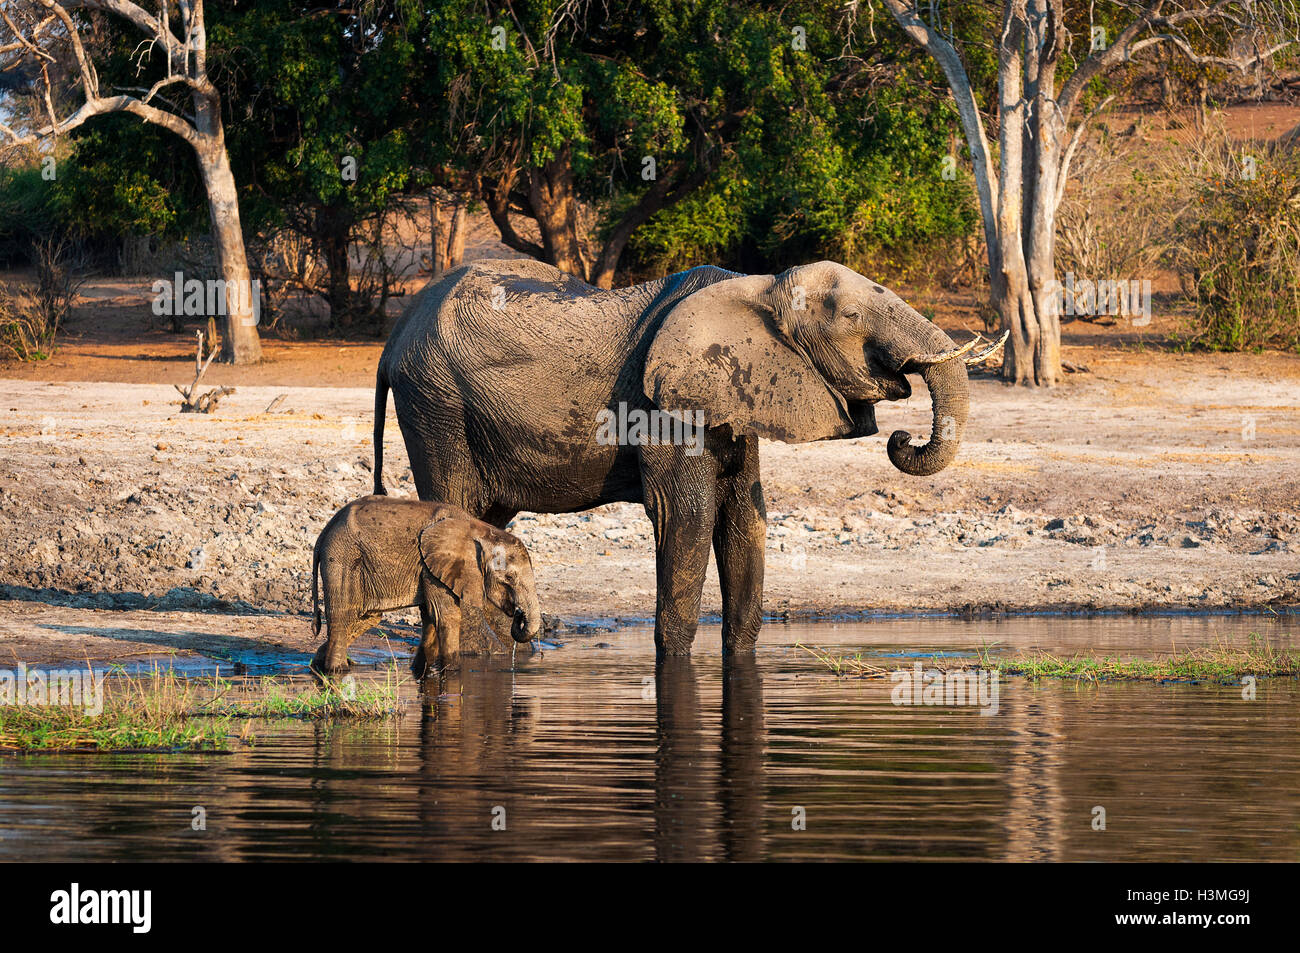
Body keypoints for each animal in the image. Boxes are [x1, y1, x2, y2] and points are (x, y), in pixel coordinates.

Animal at [310, 495, 542, 676]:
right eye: (509, 578)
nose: (518, 614)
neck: (479, 530)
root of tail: (323, 533)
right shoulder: (433, 566)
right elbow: (446, 615)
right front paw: (452, 673)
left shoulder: (431, 568)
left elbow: (431, 616)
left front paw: (421, 672)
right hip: (342, 557)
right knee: (344, 614)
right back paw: (335, 670)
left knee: (368, 617)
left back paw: (317, 666)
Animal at [371, 258, 1003, 658]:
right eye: (850, 319)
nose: (901, 439)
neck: (759, 285)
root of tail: (394, 338)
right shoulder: (665, 404)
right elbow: (690, 517)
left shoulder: (735, 395)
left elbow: (745, 518)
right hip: (437, 404)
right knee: (454, 505)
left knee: (487, 523)